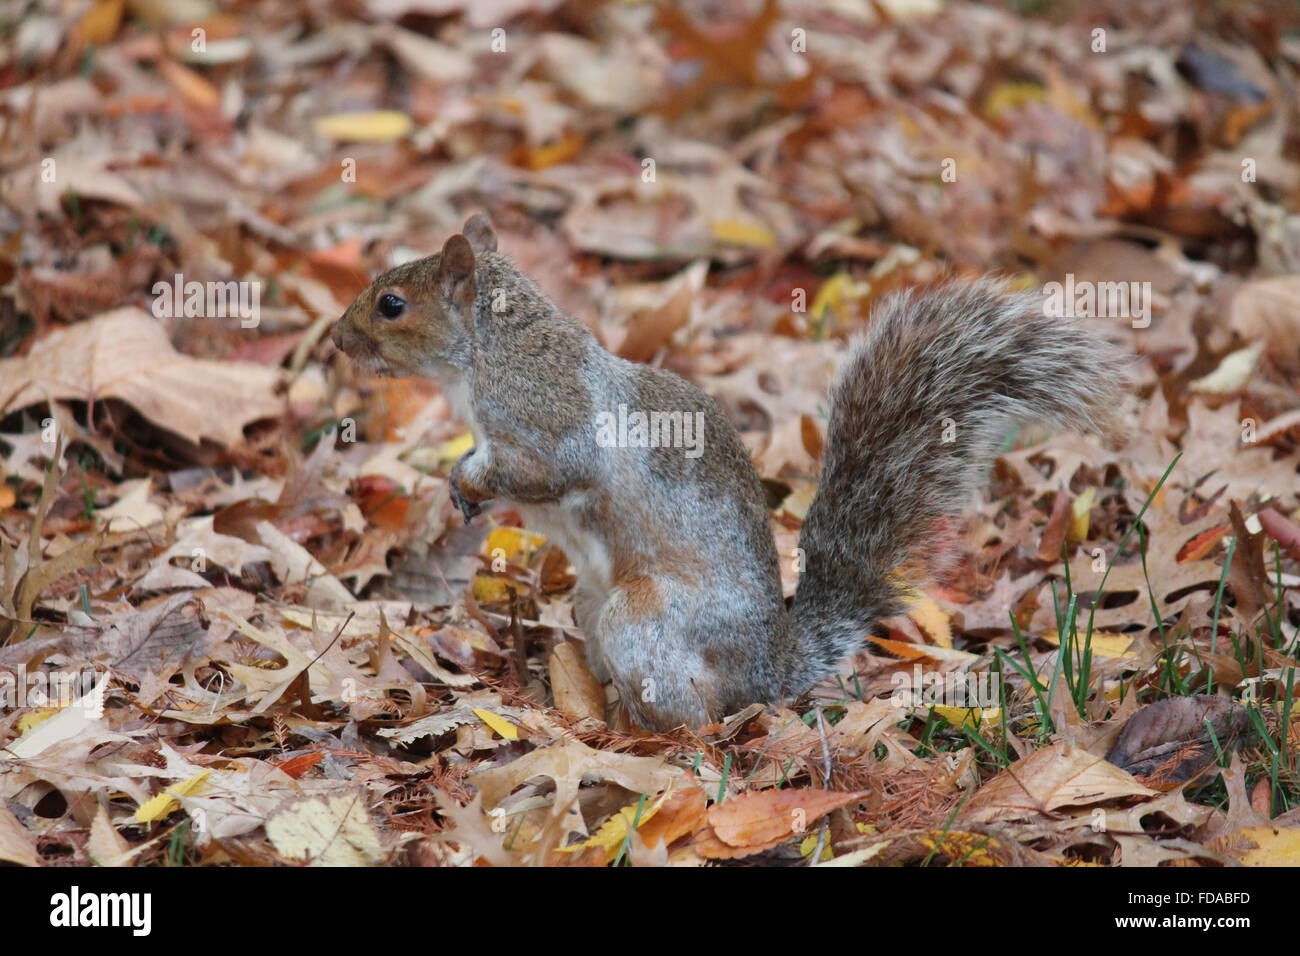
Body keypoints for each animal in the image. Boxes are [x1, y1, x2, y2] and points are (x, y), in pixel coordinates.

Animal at [331, 213, 1127, 732]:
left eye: (392, 304)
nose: (336, 340)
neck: (487, 349)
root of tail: (769, 669)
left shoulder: (544, 417)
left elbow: (541, 468)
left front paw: (470, 482)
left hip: (645, 620)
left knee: (697, 716)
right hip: (595, 604)